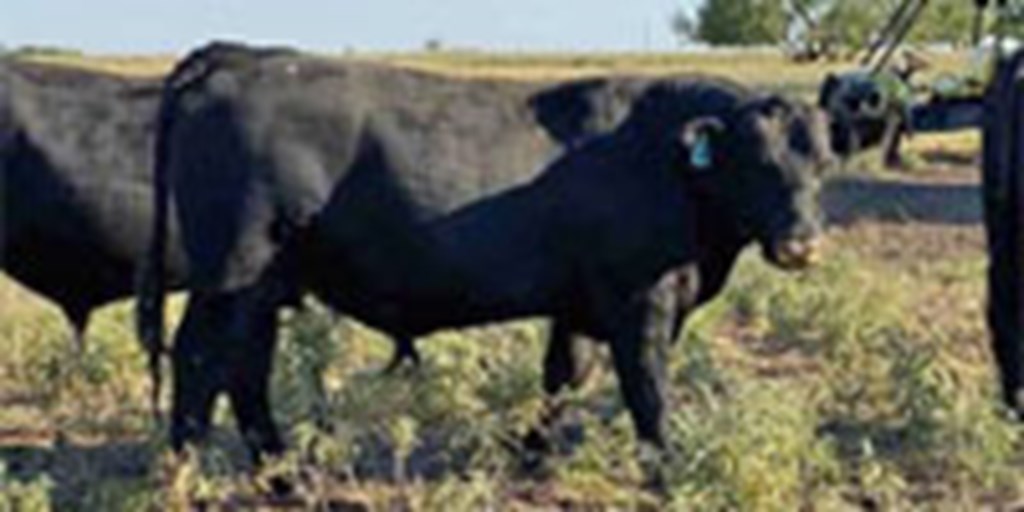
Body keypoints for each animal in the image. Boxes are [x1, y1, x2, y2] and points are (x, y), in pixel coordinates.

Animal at [138, 42, 833, 478]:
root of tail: (239, 59)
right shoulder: (641, 300)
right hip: (234, 276)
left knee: (245, 370)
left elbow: (563, 378)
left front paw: (528, 455)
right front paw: (664, 466)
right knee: (200, 361)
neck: (661, 155)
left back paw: (280, 478)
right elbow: (647, 388)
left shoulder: (579, 305)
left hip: (264, 287)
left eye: (824, 163)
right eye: (758, 163)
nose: (802, 243)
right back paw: (189, 474)